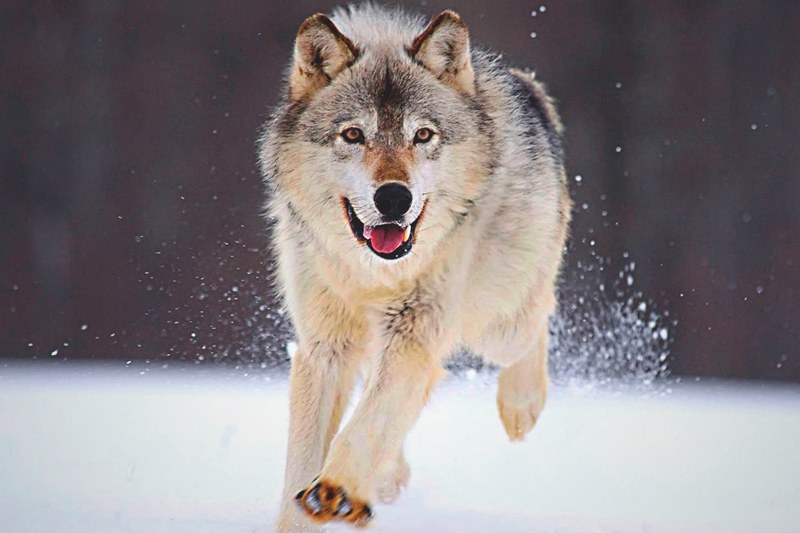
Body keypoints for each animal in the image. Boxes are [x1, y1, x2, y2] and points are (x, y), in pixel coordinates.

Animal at [258, 4, 571, 531]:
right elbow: (303, 459)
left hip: (495, 322)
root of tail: (529, 87)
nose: (393, 198)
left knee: (537, 316)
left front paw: (336, 488)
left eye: (422, 135)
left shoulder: (414, 331)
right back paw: (384, 480)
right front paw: (314, 505)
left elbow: (368, 422)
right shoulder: (324, 347)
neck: (373, 274)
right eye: (353, 135)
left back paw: (521, 405)